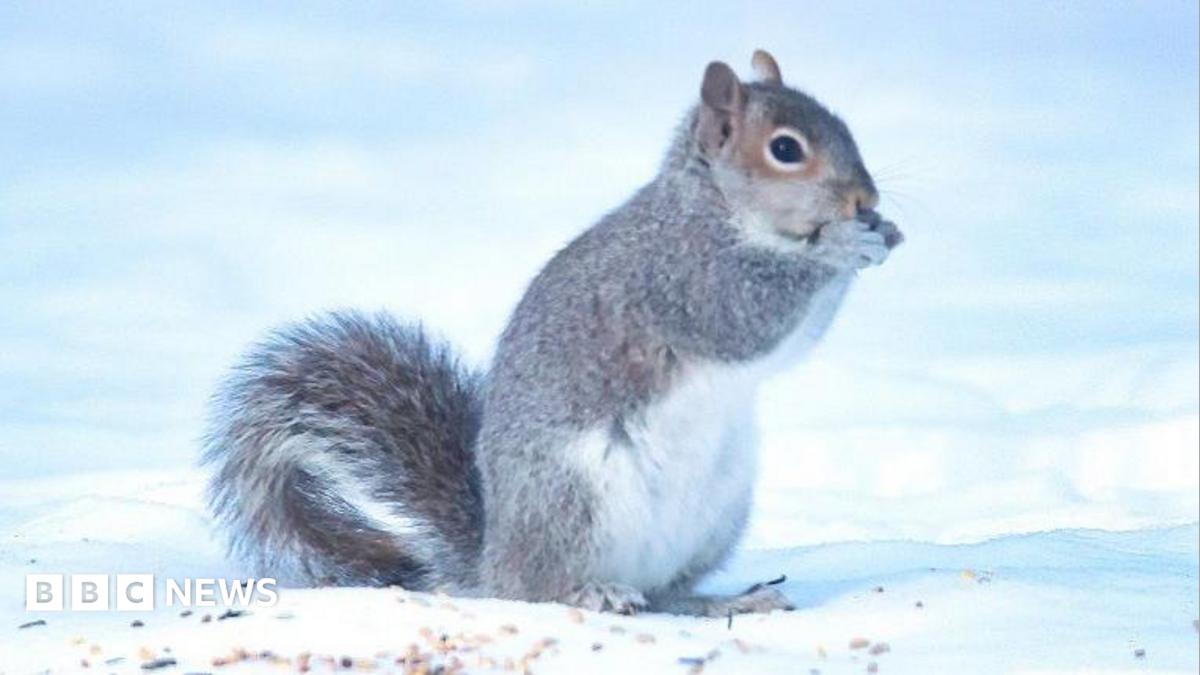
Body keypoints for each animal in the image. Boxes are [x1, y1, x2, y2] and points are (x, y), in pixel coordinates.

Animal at [203, 50, 903, 617]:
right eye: (786, 150)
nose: (864, 199)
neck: (715, 210)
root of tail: (494, 558)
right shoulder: (681, 280)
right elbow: (749, 316)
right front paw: (845, 245)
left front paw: (881, 233)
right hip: (572, 497)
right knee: (540, 589)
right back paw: (591, 593)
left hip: (717, 514)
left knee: (666, 595)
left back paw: (728, 601)